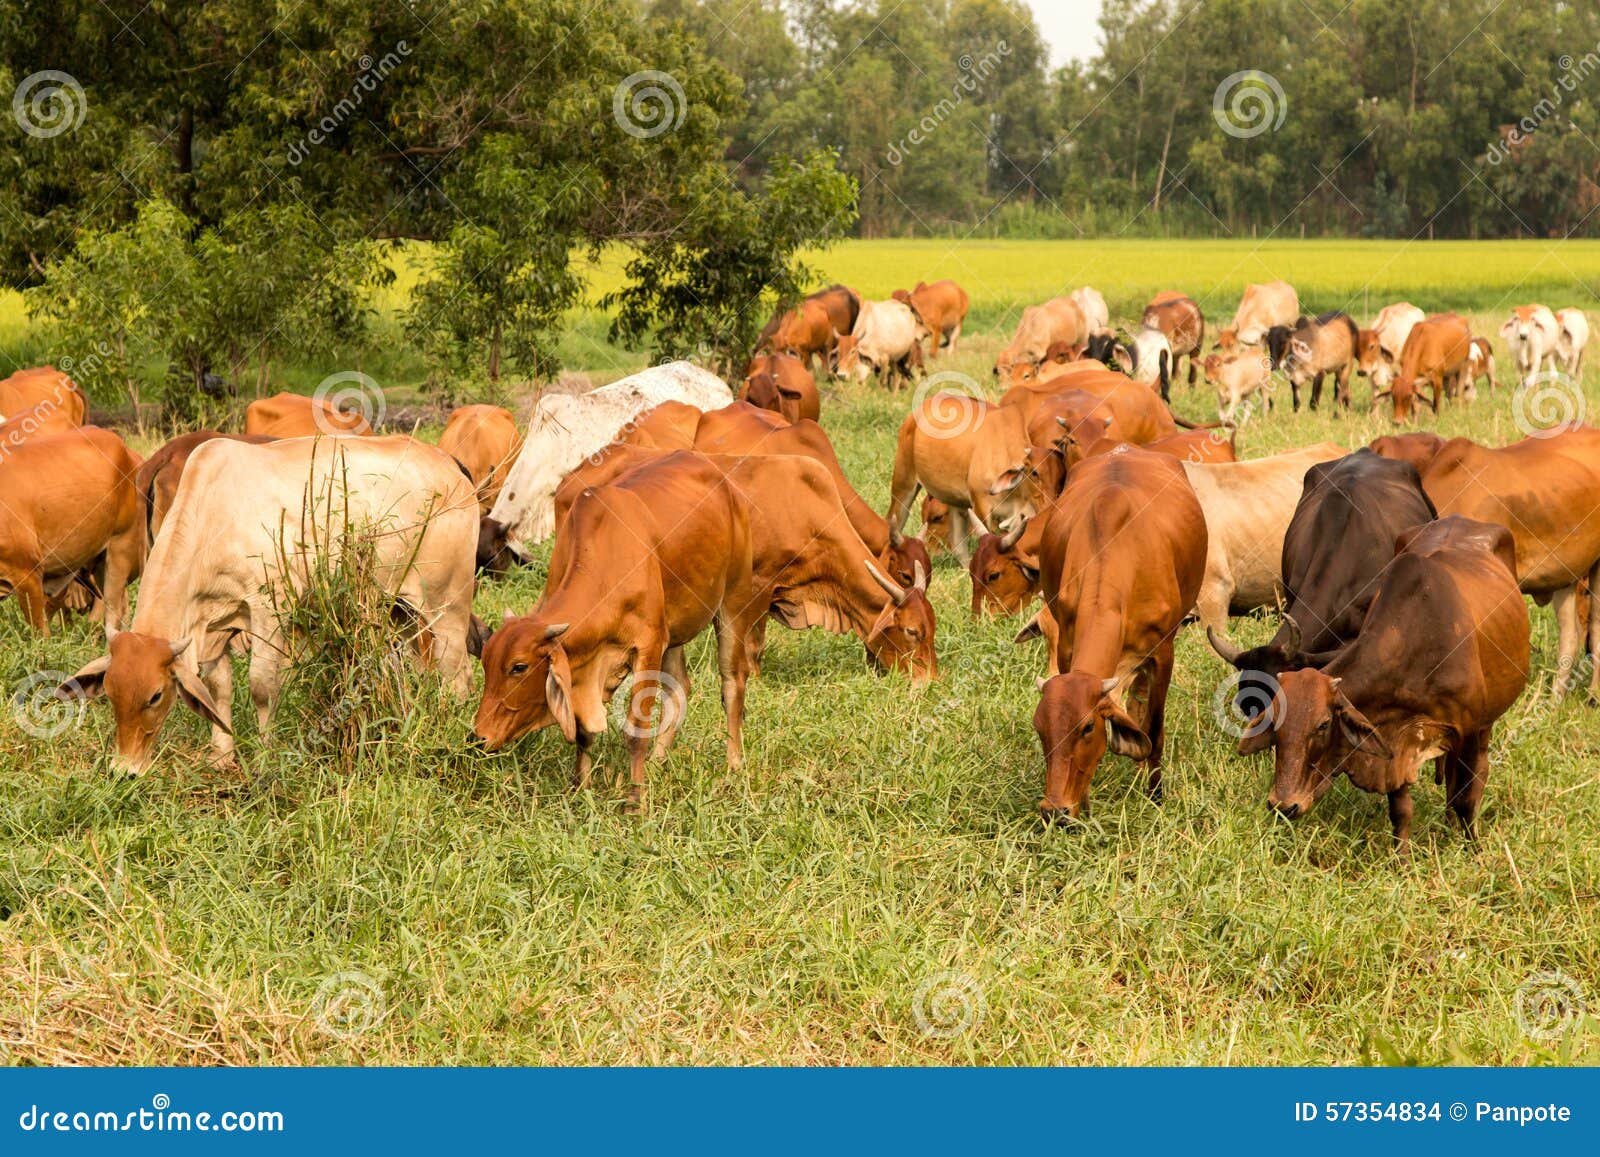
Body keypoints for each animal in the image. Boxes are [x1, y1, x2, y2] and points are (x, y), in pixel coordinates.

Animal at [472, 453, 760, 812]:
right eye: (485, 664)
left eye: (519, 667)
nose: (478, 737)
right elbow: (584, 730)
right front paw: (580, 786)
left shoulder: (649, 645)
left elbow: (635, 731)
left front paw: (635, 801)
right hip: (675, 631)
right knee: (680, 688)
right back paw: (658, 761)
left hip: (734, 603)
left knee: (732, 685)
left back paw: (733, 764)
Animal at [1028, 447, 1208, 822]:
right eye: (1040, 728)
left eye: (1087, 728)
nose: (1055, 810)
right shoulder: (1066, 645)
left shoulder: (1163, 653)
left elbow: (1153, 727)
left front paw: (1156, 795)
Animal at [1233, 516, 1529, 852]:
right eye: (1275, 723)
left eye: (1323, 725)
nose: (1283, 805)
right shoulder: (1394, 743)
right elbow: (1401, 809)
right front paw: (1401, 857)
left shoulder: (1466, 730)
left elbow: (1465, 798)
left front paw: (1472, 850)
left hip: (1485, 724)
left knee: (1476, 773)